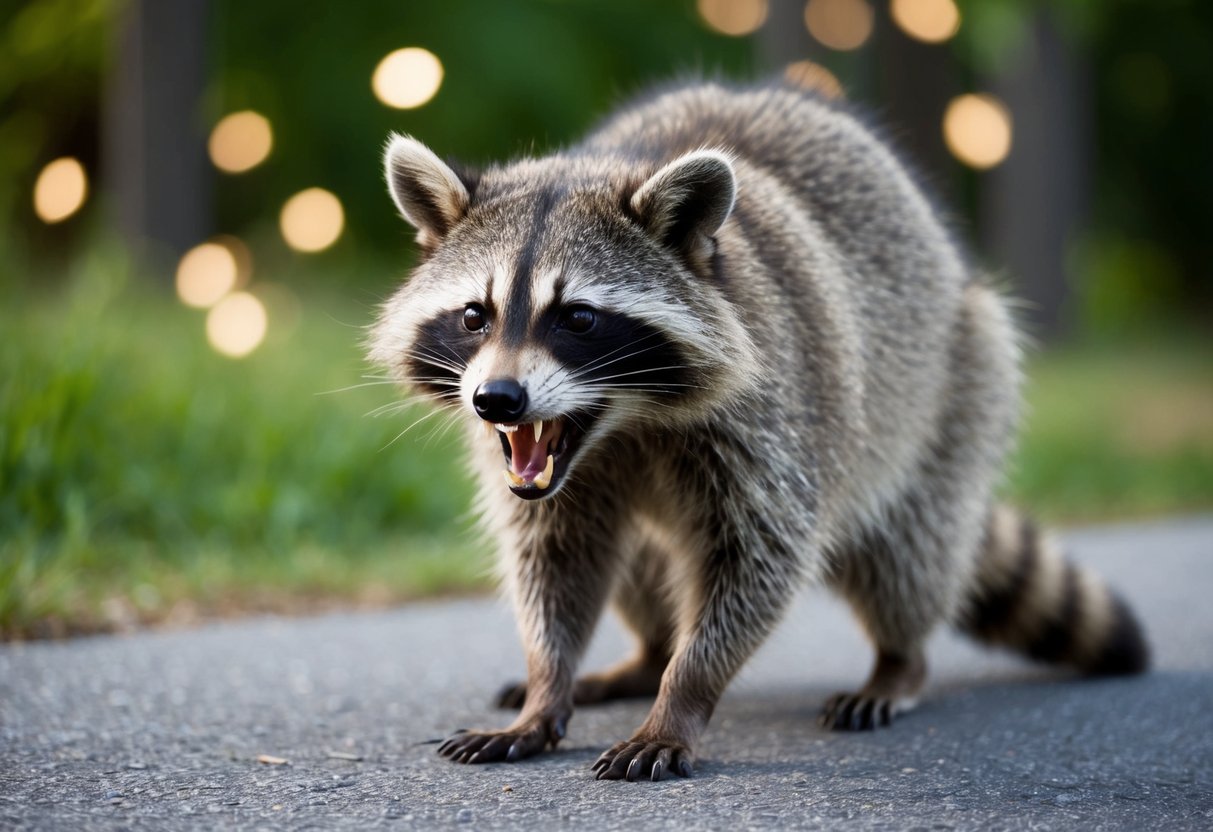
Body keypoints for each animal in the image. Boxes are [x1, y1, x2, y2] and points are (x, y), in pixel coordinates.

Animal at [368, 81, 1148, 781]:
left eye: (578, 319)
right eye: (475, 316)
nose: (497, 401)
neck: (625, 423)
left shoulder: (774, 414)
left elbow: (758, 559)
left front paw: (682, 695)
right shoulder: (552, 480)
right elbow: (554, 558)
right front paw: (546, 685)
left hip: (956, 387)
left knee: (906, 548)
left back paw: (898, 661)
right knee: (636, 565)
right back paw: (644, 656)